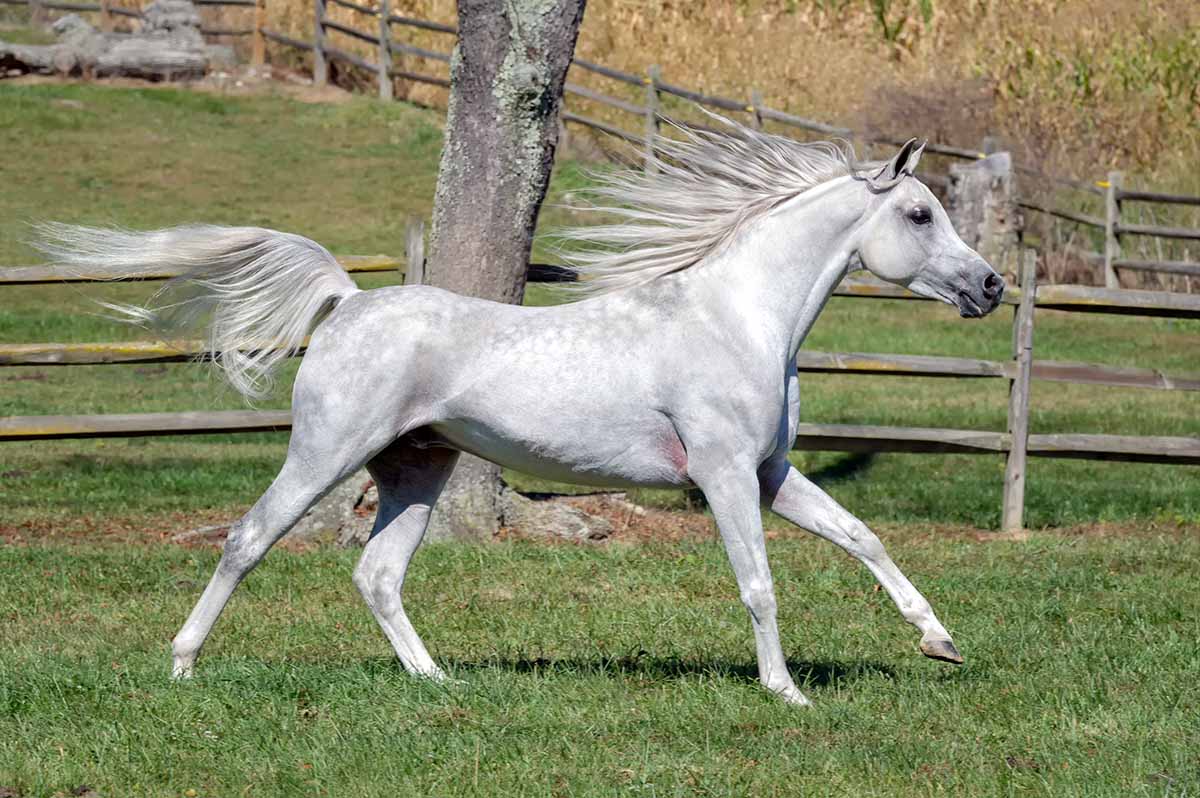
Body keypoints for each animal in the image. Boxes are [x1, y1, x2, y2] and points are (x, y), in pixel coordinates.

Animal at [39, 122, 1004, 706]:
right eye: (919, 212)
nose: (990, 286)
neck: (736, 318)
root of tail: (349, 302)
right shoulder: (724, 475)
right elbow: (759, 584)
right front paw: (787, 692)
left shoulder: (770, 473)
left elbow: (864, 536)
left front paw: (942, 643)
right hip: (325, 454)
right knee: (248, 540)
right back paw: (182, 666)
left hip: (417, 469)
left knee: (377, 576)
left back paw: (437, 683)